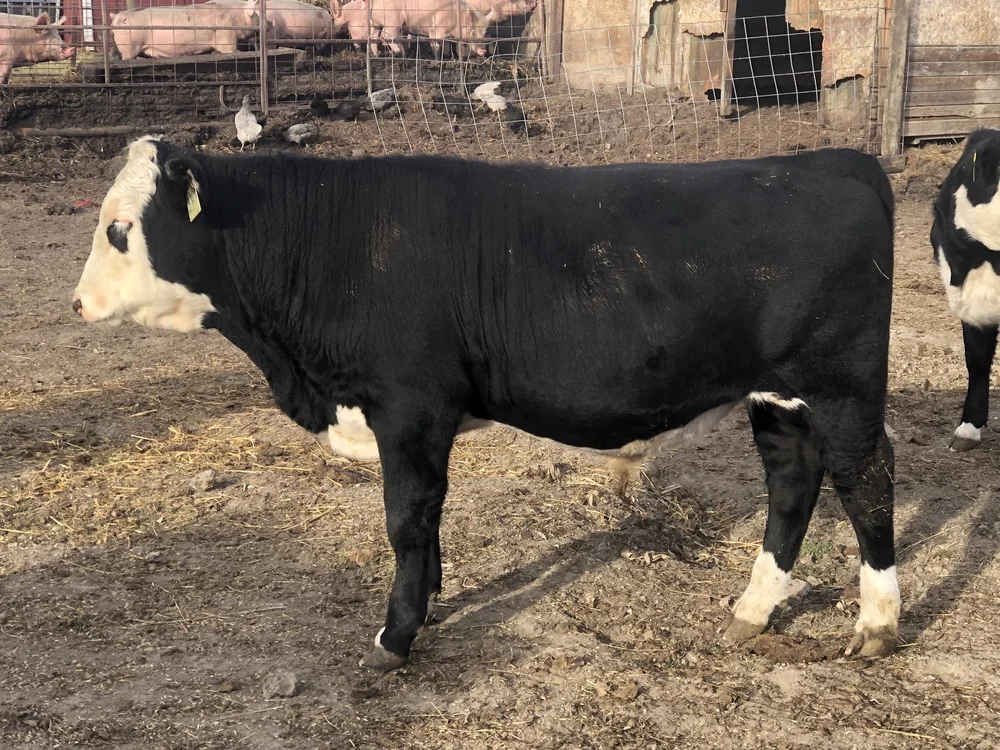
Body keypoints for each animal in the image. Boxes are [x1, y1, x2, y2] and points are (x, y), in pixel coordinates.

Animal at [72, 137, 898, 671]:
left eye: (119, 228)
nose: (76, 304)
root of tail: (835, 160)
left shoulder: (409, 406)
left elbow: (405, 520)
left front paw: (396, 636)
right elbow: (430, 516)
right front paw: (431, 601)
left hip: (842, 388)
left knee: (868, 483)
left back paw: (878, 624)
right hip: (779, 398)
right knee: (792, 483)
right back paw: (752, 610)